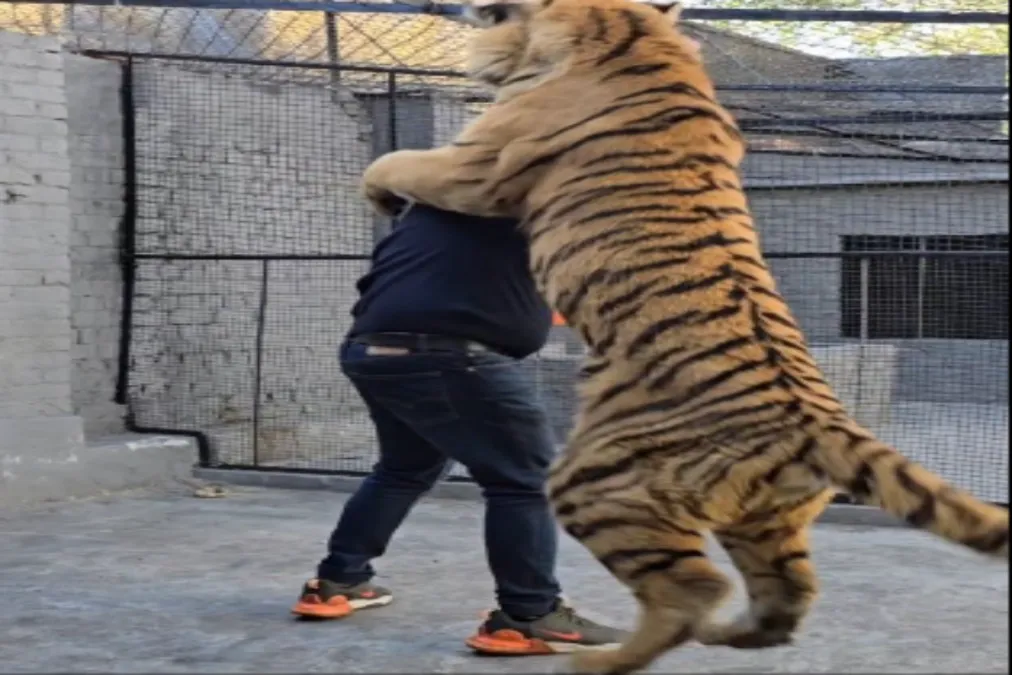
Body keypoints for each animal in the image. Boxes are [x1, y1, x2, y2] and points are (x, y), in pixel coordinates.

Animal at [358, 0, 1010, 672]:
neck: (627, 31)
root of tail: (817, 425)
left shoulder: (475, 163)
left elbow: (392, 161)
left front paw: (382, 193)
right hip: (764, 520)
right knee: (786, 599)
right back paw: (729, 635)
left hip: (595, 480)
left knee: (693, 589)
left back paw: (603, 659)